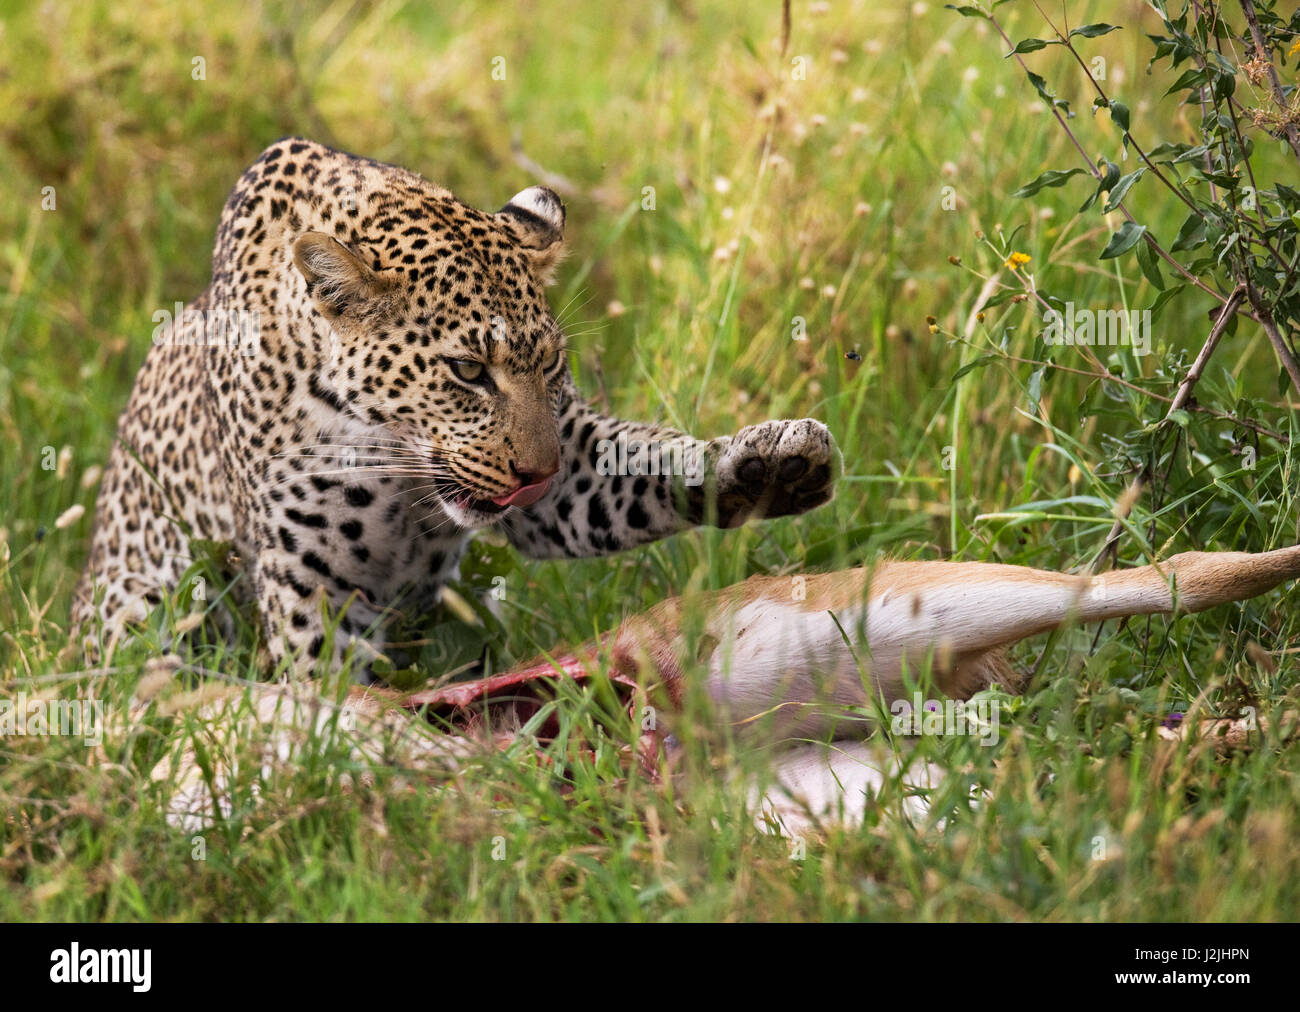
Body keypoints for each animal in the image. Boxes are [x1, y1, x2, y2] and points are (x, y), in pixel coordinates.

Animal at [73, 138, 839, 679]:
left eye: (550, 365)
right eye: (469, 371)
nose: (536, 475)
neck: (389, 455)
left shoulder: (569, 466)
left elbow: (647, 462)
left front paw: (768, 465)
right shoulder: (307, 575)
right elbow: (328, 682)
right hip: (142, 600)